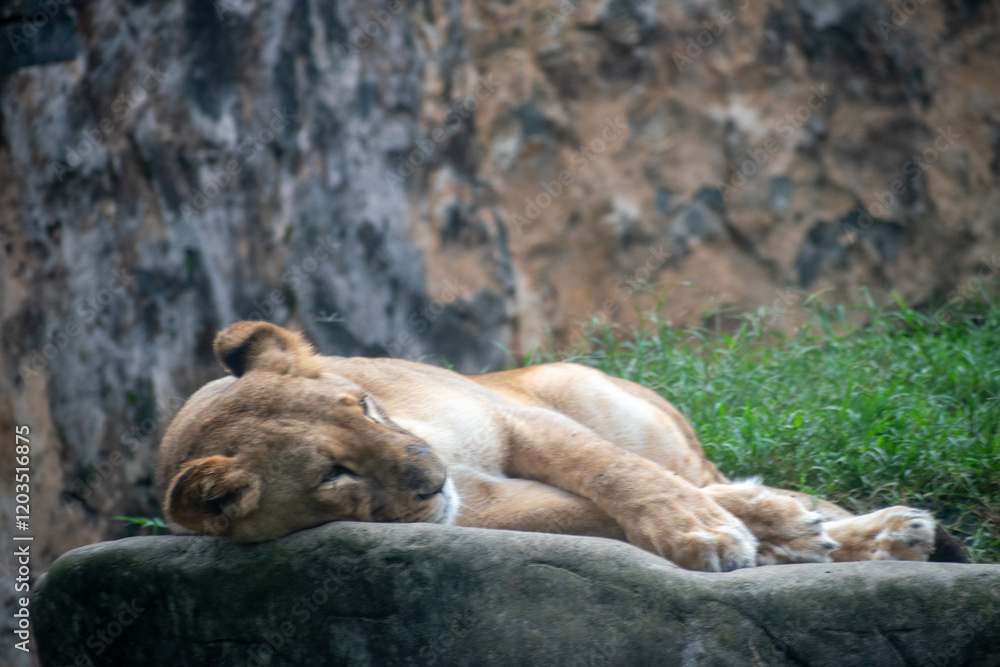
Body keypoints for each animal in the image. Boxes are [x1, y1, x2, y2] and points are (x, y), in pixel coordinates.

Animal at [155, 321, 966, 572]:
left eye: (362, 404)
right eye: (333, 474)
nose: (432, 476)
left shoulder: (512, 419)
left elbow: (613, 472)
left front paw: (710, 531)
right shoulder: (489, 511)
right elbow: (598, 512)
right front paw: (752, 535)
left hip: (582, 388)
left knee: (705, 473)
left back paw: (882, 529)